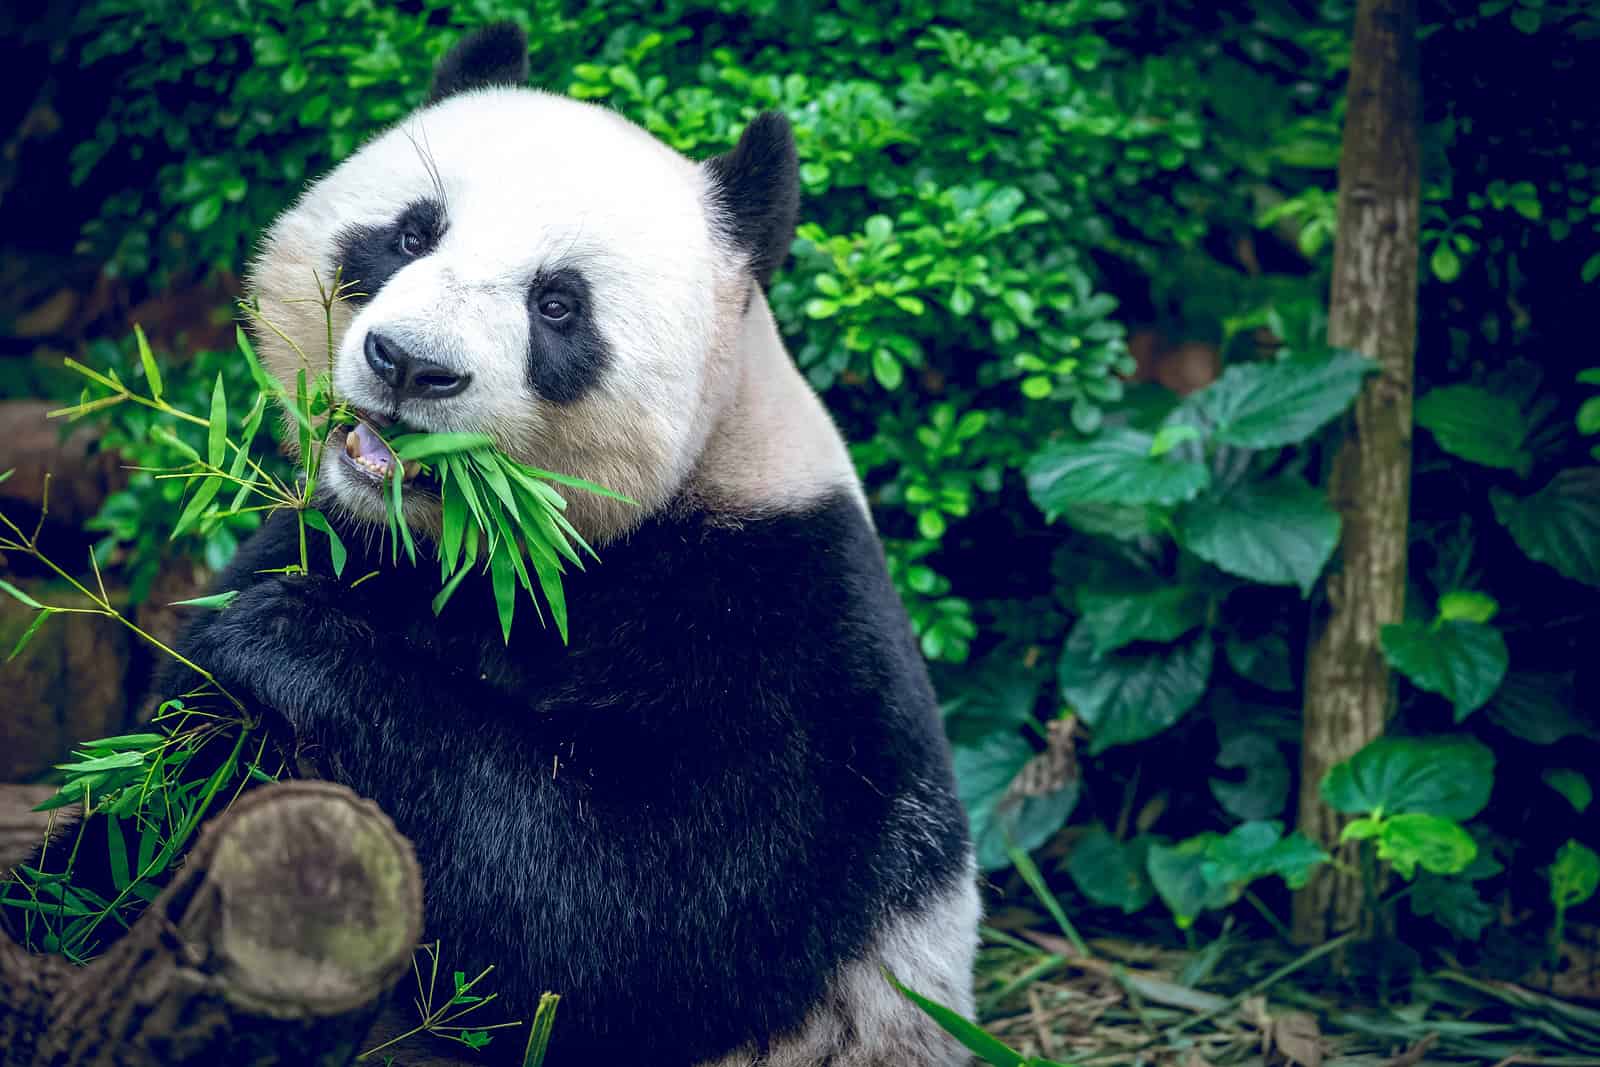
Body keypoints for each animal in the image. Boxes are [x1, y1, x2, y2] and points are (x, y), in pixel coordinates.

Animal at [167, 22, 978, 1066]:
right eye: (413, 233)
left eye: (558, 304)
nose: (410, 364)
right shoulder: (342, 535)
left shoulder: (780, 634)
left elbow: (631, 916)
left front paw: (290, 642)